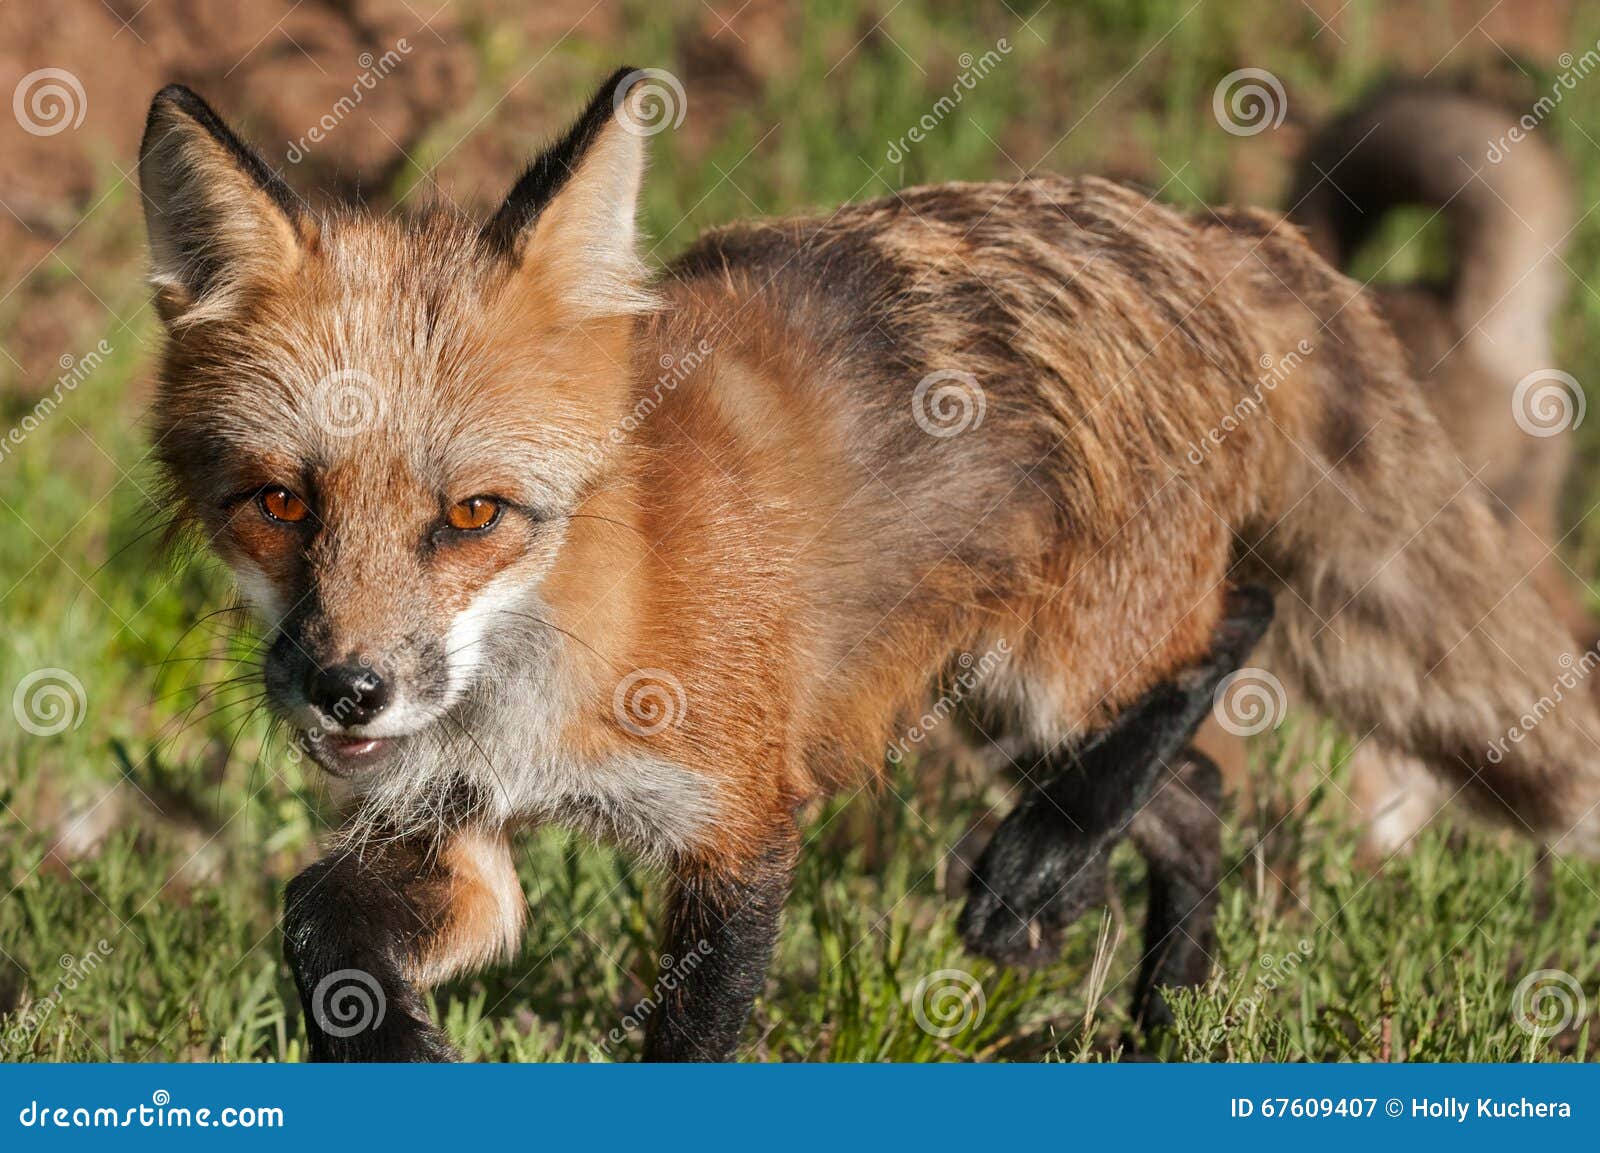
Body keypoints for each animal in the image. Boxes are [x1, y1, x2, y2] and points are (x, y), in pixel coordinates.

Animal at [140, 67, 1600, 1062]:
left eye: (474, 514)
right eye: (278, 502)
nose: (347, 690)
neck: (551, 651)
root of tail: (1197, 227)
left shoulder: (736, 823)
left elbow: (691, 1035)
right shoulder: (456, 828)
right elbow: (316, 917)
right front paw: (392, 1051)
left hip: (1055, 668)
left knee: (1239, 622)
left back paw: (1056, 857)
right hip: (1000, 703)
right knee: (1196, 799)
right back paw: (1157, 1018)